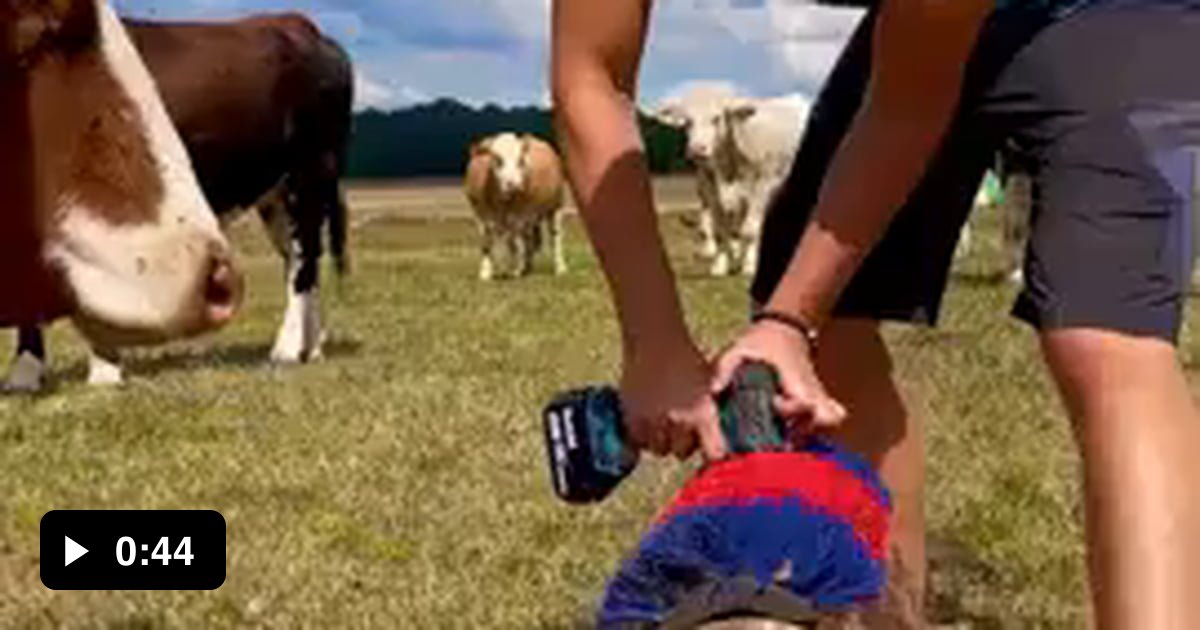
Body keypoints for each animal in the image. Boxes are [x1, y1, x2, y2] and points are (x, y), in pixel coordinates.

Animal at [464, 132, 567, 281]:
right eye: (497, 159)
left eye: (521, 160)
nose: (514, 184)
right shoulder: (481, 214)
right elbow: (487, 242)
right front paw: (485, 272)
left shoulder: (521, 215)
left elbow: (517, 243)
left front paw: (517, 270)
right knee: (526, 239)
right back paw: (526, 267)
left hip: (556, 205)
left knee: (555, 236)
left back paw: (559, 267)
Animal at [655, 89, 808, 277]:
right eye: (688, 122)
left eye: (716, 118)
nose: (697, 149)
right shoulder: (710, 187)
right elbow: (722, 228)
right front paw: (721, 265)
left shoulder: (763, 184)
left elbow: (749, 230)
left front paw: (749, 265)